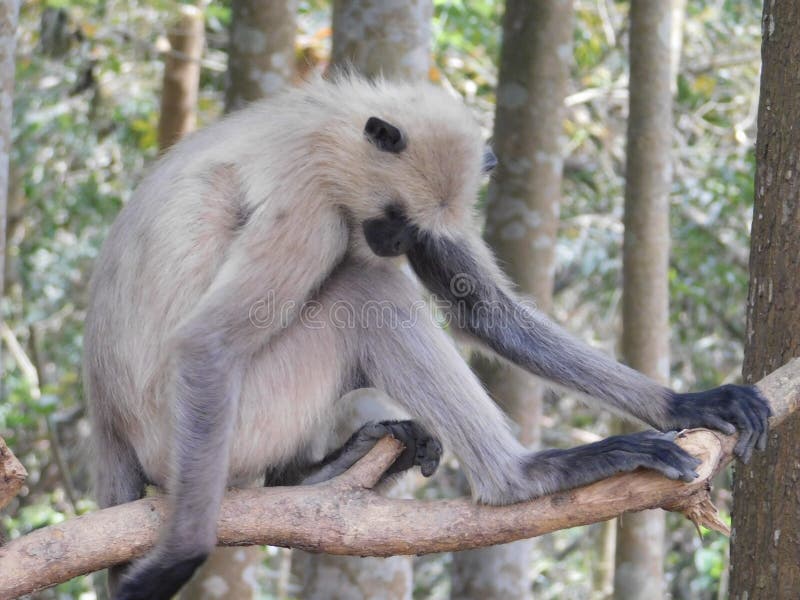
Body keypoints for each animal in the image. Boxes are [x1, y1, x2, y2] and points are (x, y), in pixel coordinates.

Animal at [83, 75, 770, 600]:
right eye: (392, 216)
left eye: (412, 230)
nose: (394, 243)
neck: (330, 126)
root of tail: (111, 425)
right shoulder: (313, 198)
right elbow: (208, 344)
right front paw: (179, 559)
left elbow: (485, 313)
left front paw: (688, 403)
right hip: (230, 418)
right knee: (364, 290)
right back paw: (522, 478)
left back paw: (312, 475)